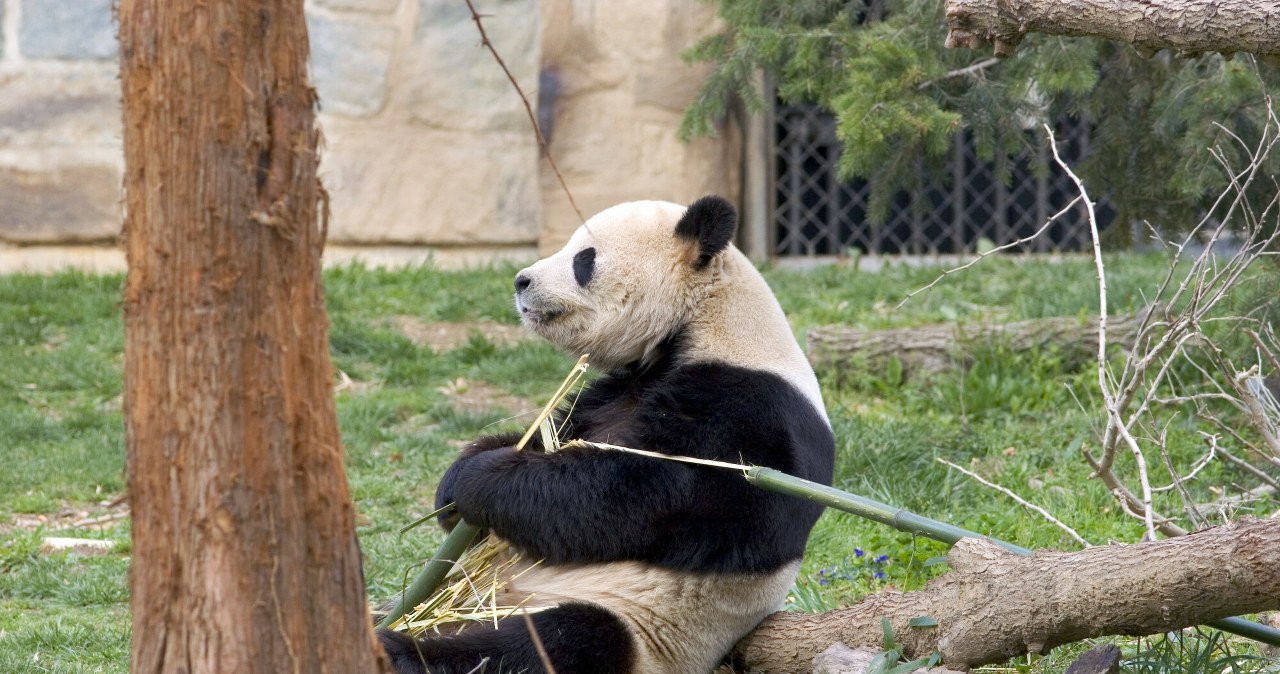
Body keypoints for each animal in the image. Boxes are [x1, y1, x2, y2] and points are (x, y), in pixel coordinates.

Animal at [378, 196, 835, 674]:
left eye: (584, 259)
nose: (521, 281)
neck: (710, 321)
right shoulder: (617, 389)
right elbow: (554, 432)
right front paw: (454, 486)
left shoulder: (749, 414)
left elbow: (631, 494)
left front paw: (480, 480)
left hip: (641, 630)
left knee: (562, 638)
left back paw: (400, 651)